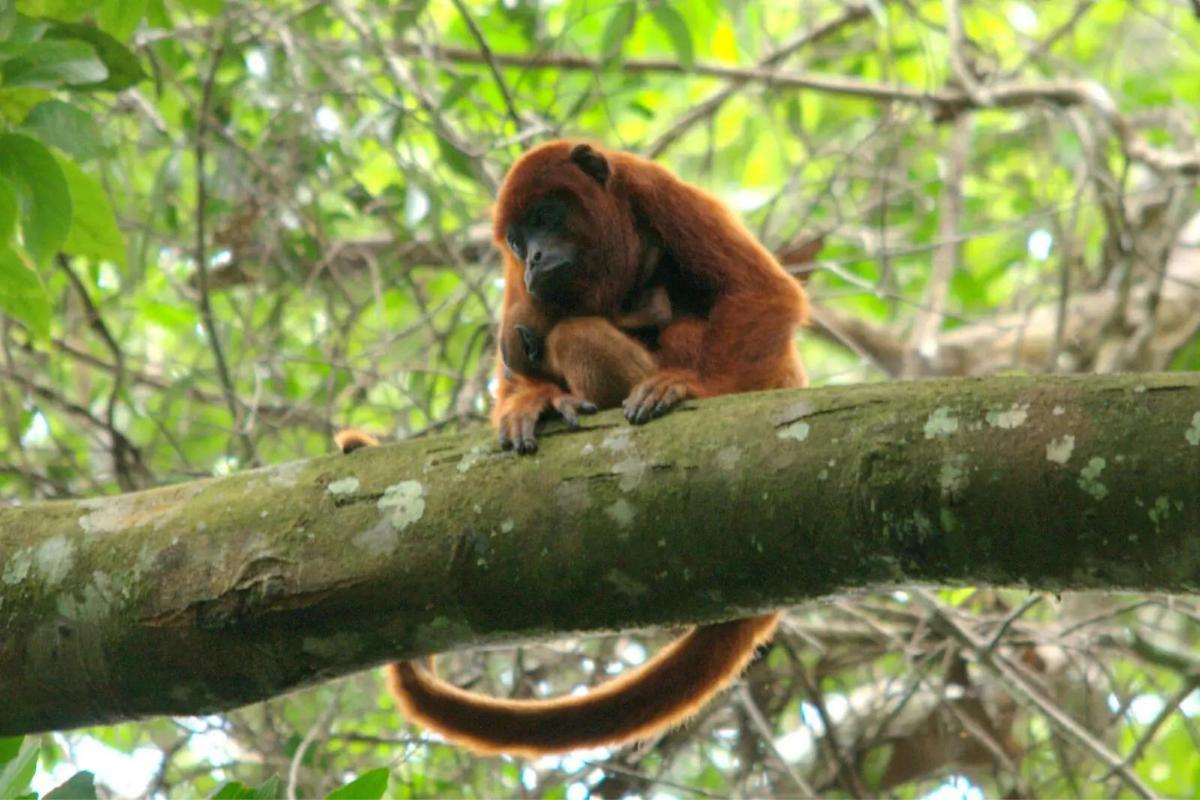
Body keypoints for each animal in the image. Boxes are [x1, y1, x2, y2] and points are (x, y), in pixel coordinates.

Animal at [337, 140, 808, 757]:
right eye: (516, 242)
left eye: (546, 216)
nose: (534, 256)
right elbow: (513, 363)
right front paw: (531, 400)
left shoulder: (663, 193)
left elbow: (764, 293)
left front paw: (691, 387)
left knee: (585, 331)